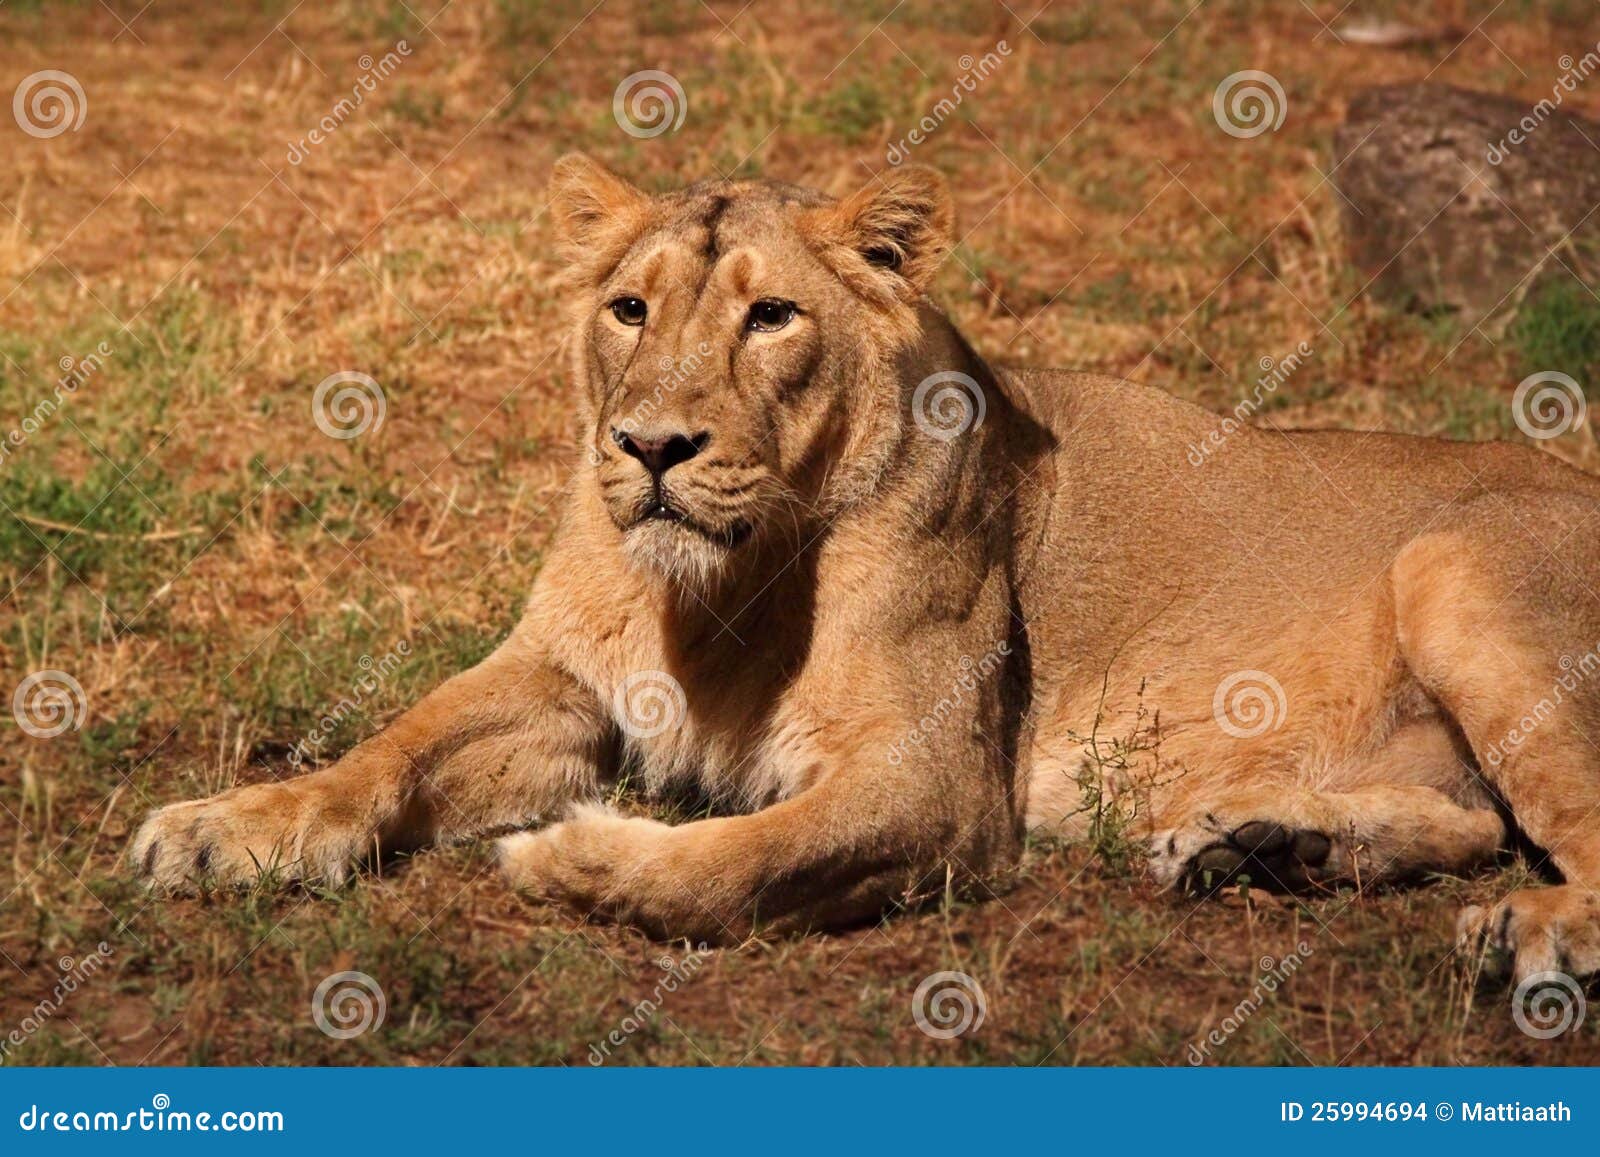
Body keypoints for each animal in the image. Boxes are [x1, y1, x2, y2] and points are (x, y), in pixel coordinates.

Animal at [131, 154, 1600, 982]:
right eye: (629, 308)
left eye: (771, 317)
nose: (650, 446)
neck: (724, 590)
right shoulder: (559, 675)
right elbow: (391, 744)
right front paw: (227, 826)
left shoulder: (936, 781)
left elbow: (742, 861)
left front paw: (572, 856)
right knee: (1472, 818)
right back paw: (1259, 846)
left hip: (1456, 569)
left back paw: (1528, 935)